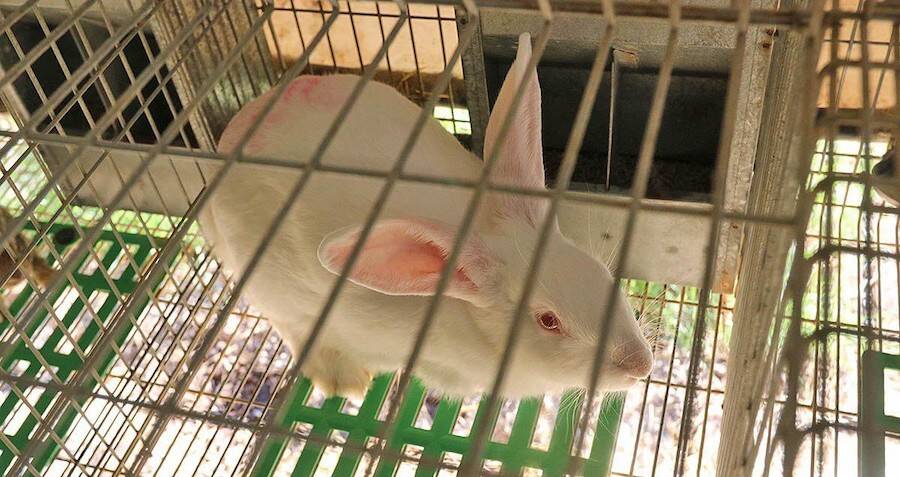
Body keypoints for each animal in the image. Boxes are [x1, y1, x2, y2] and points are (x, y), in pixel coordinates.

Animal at [199, 33, 653, 399]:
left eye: (599, 272)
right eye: (548, 321)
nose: (641, 365)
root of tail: (237, 130)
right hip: (272, 288)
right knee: (293, 328)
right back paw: (346, 382)